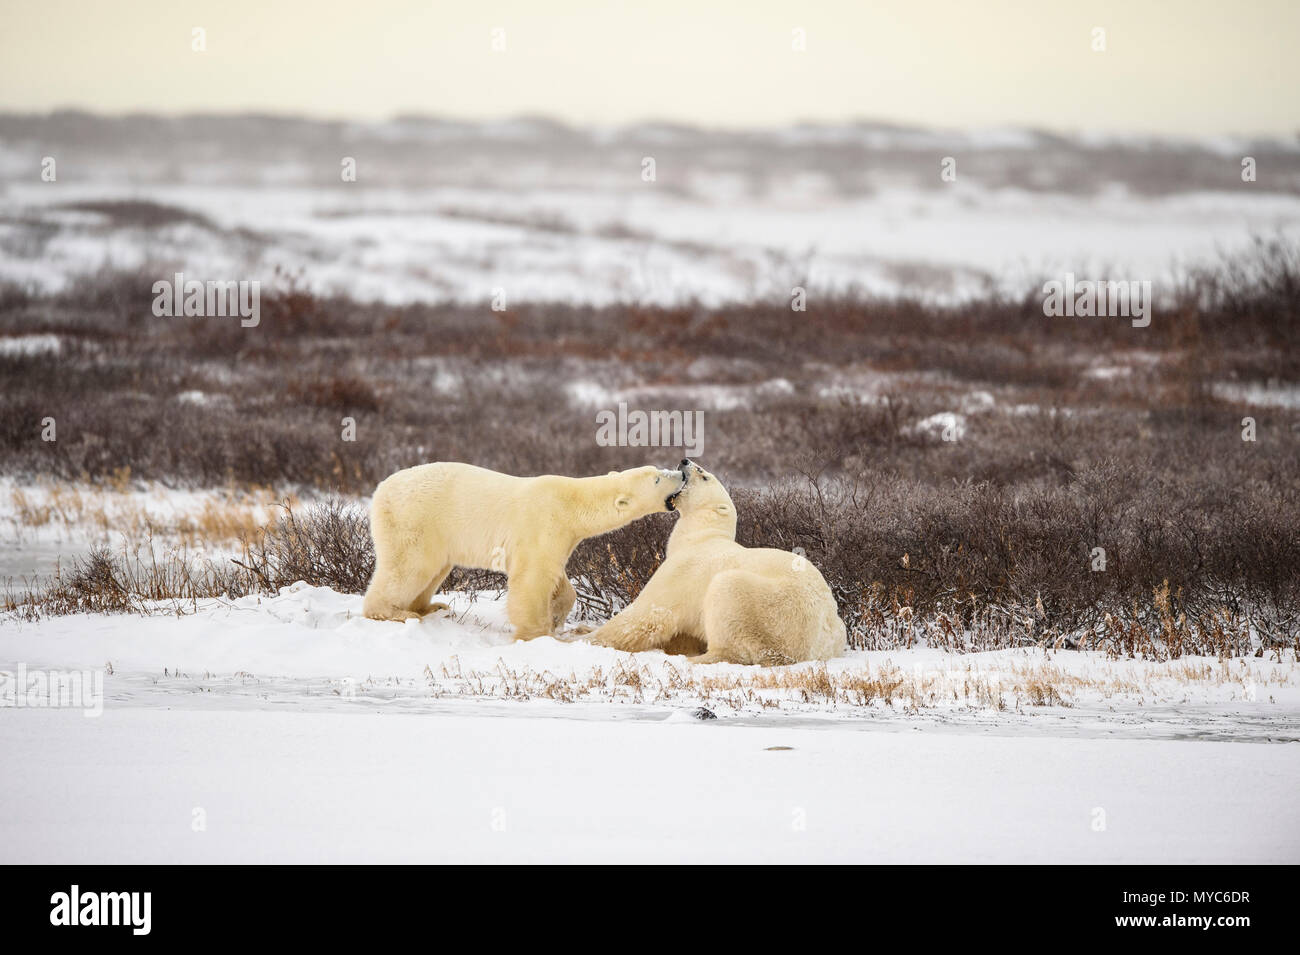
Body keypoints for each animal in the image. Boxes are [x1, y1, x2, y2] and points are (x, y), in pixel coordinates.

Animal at [362, 462, 684, 639]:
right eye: (657, 478)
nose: (681, 472)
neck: (572, 504)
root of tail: (380, 490)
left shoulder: (561, 538)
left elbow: (559, 580)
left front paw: (556, 616)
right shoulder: (542, 525)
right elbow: (532, 579)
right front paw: (537, 632)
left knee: (434, 570)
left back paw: (430, 607)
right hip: (415, 520)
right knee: (410, 566)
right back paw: (396, 612)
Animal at [585, 460, 847, 665]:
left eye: (704, 474)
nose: (684, 461)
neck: (698, 537)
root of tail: (822, 633)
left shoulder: (684, 571)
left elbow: (648, 614)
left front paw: (582, 636)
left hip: (775, 610)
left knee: (730, 606)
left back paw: (693, 659)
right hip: (837, 630)